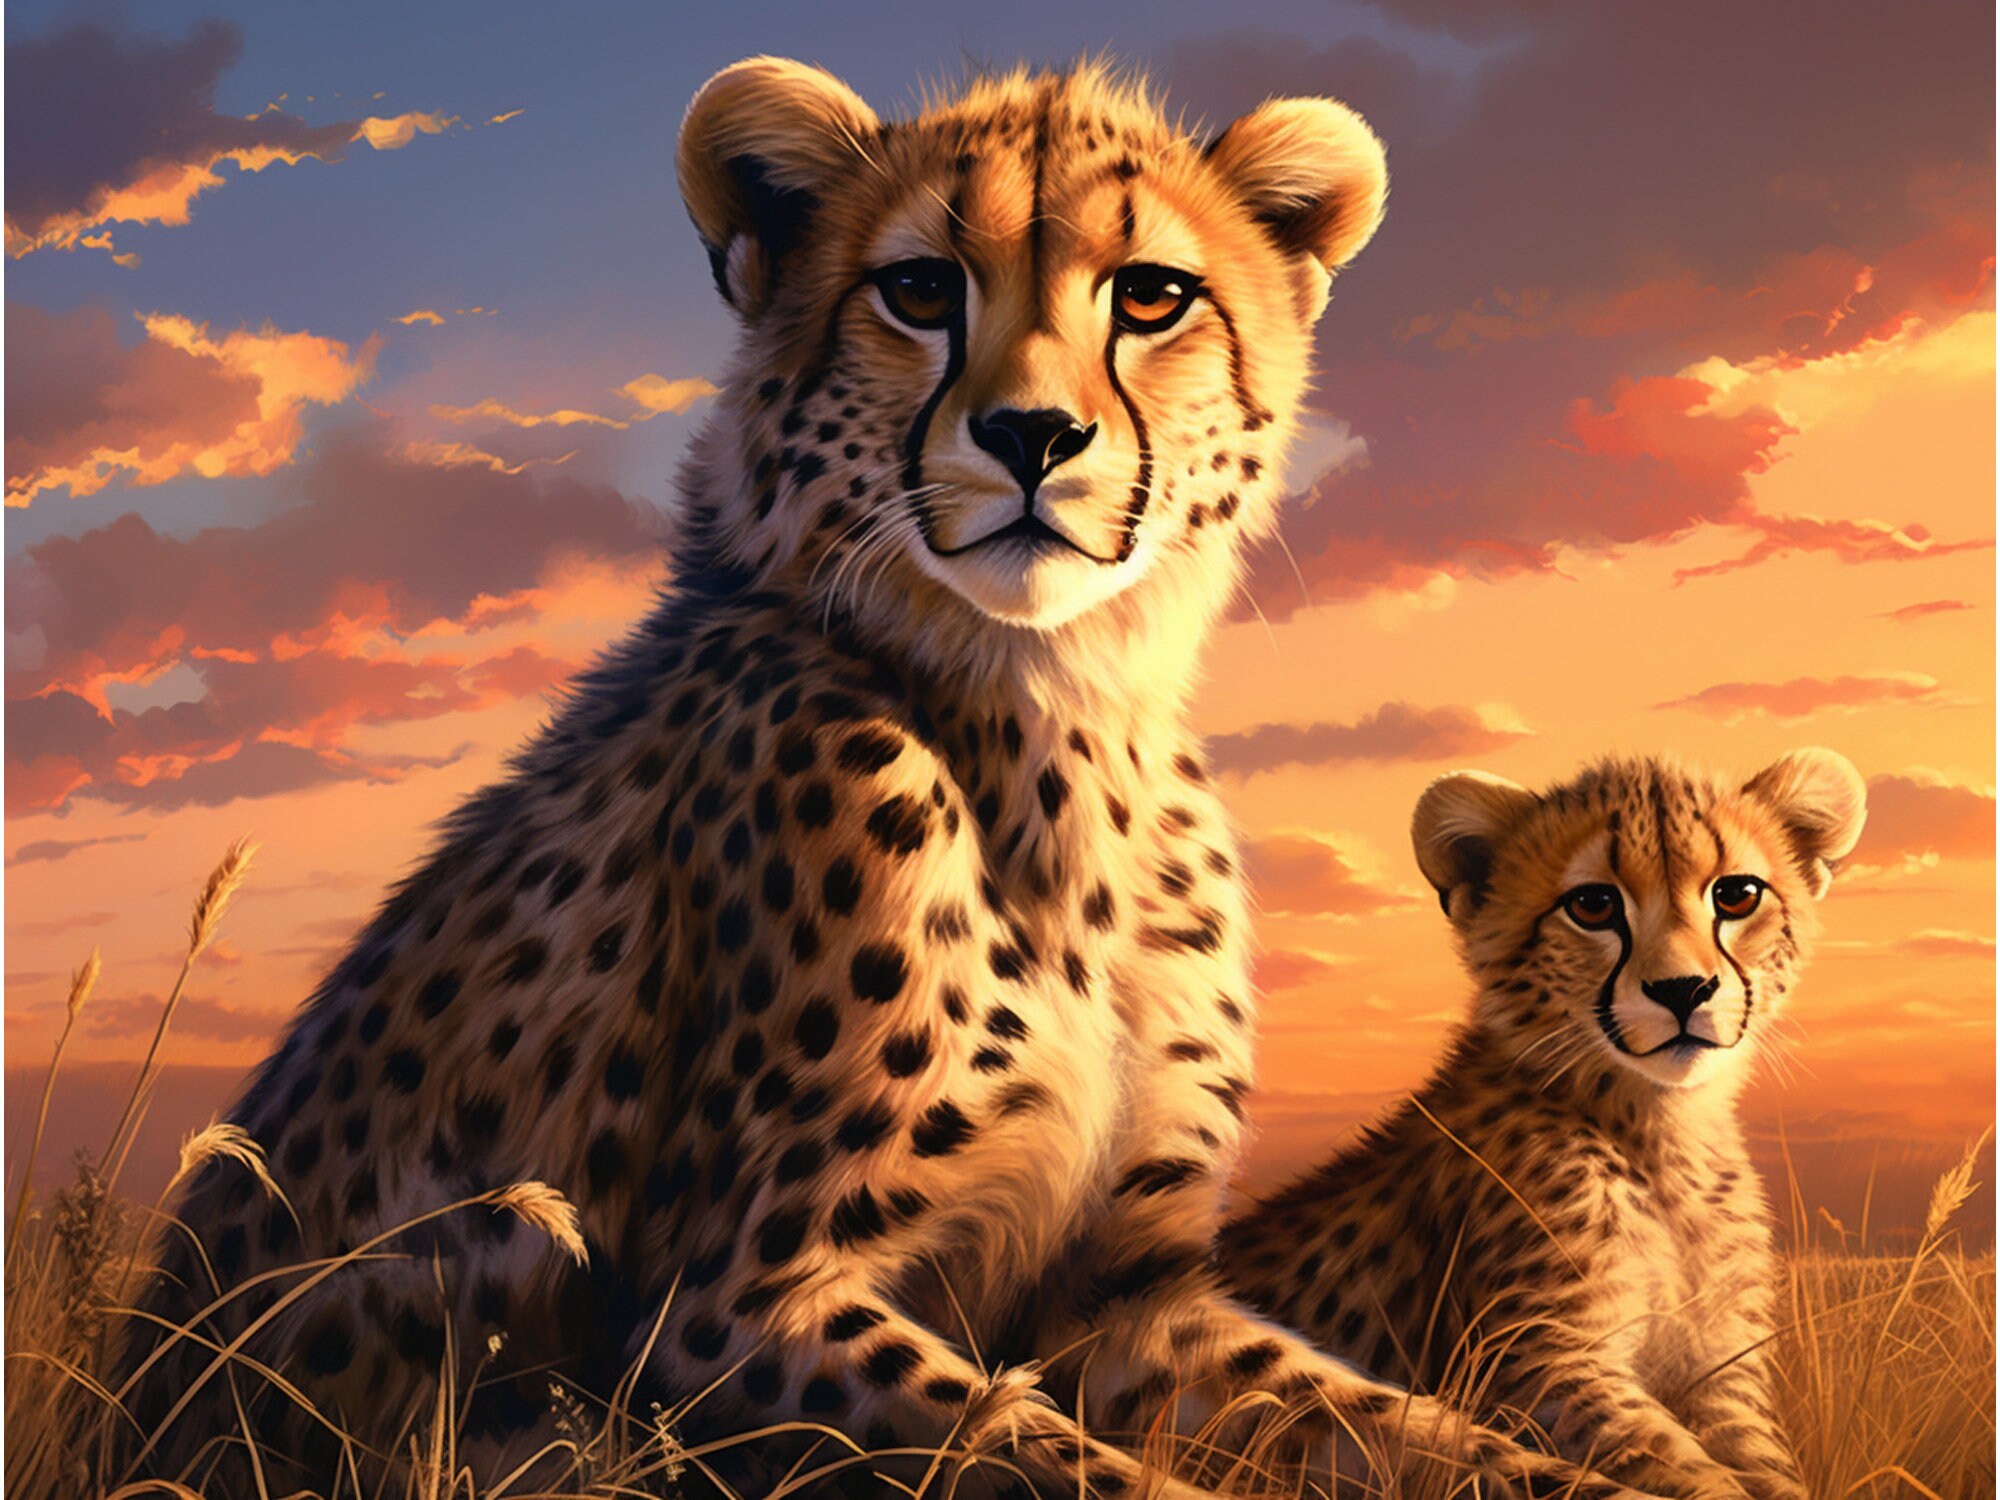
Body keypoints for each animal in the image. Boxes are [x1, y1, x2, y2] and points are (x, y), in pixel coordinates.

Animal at [117, 57, 1655, 1500]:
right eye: (918, 289)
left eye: (1152, 296)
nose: (1032, 435)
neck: (1052, 718)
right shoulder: (733, 1311)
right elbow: (1065, 1468)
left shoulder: (1135, 1306)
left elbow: (1430, 1438)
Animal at [1220, 749, 1868, 1500]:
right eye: (1593, 905)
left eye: (1737, 895)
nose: (1682, 990)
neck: (1658, 1131)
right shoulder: (1546, 1363)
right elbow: (1681, 1470)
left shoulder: (1721, 1374)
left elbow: (1762, 1469)